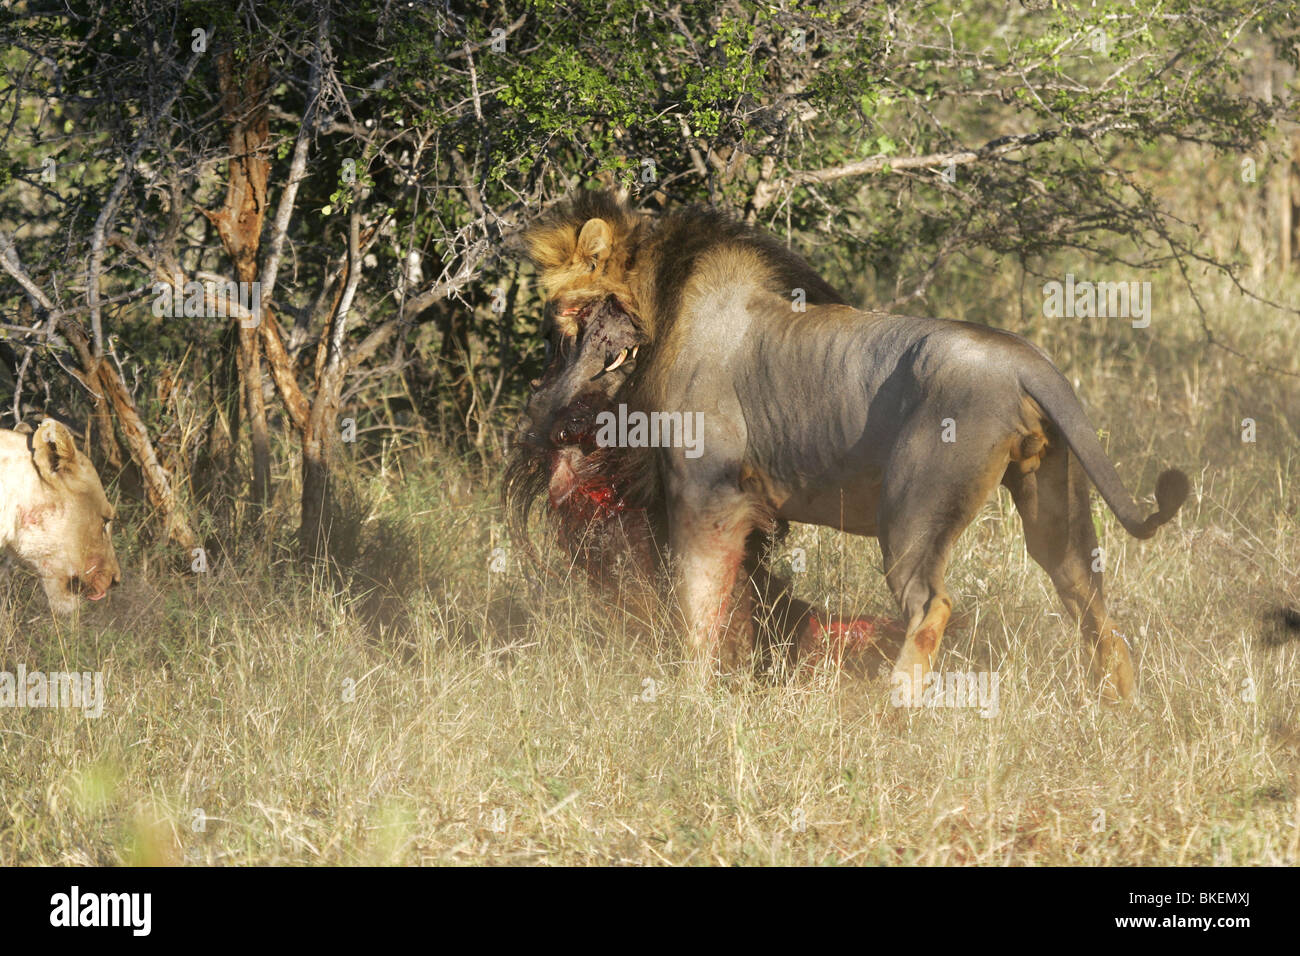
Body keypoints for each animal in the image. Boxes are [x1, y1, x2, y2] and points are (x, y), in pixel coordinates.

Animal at [507, 190, 1189, 702]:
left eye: (562, 315)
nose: (537, 396)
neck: (659, 317)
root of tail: (1026, 362)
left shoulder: (707, 496)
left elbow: (697, 607)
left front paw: (692, 695)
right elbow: (736, 606)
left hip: (912, 512)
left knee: (932, 606)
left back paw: (893, 709)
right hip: (1054, 503)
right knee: (1094, 609)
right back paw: (1123, 711)